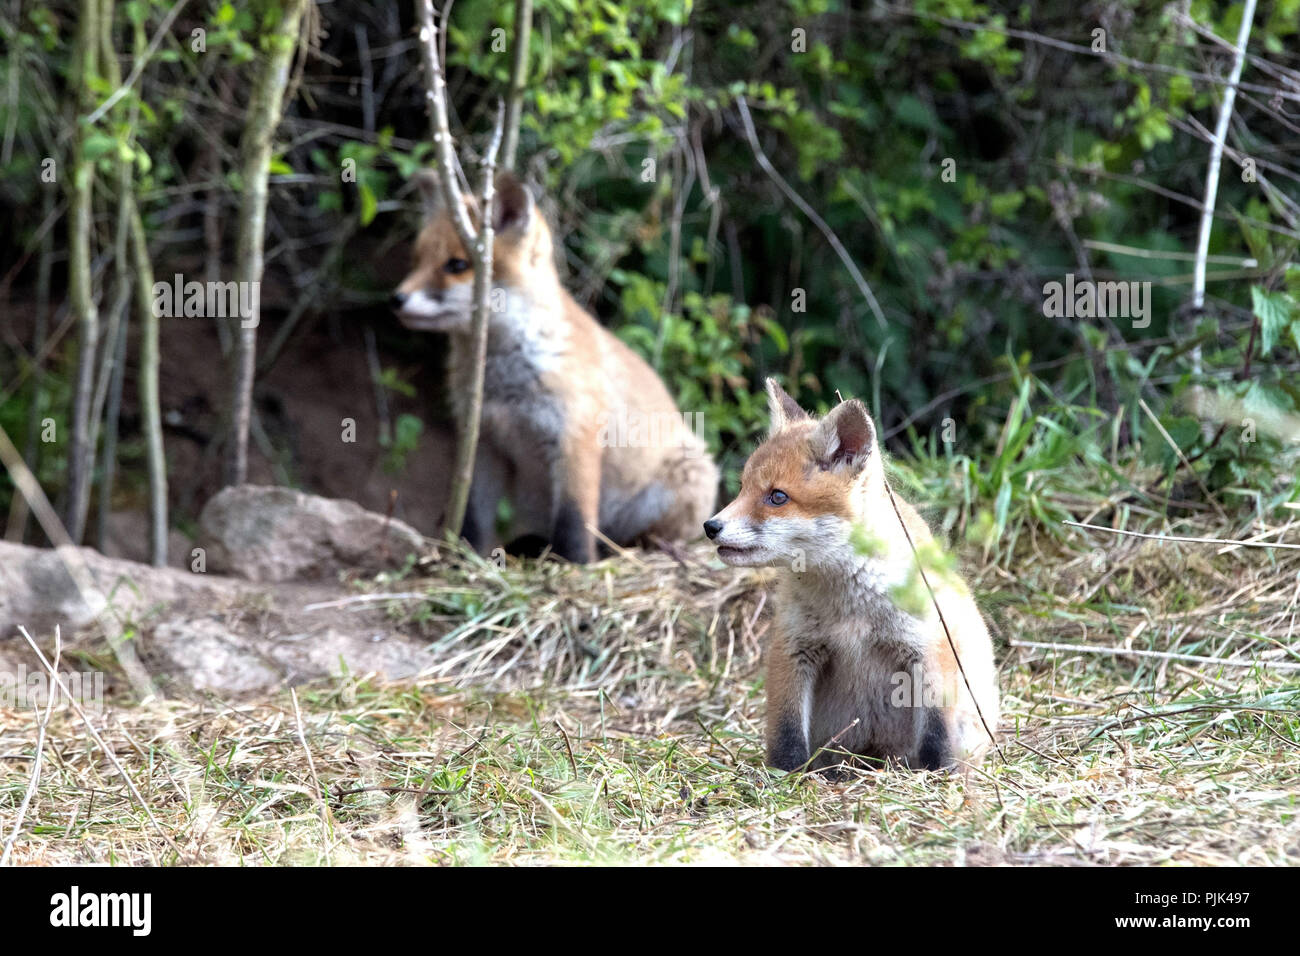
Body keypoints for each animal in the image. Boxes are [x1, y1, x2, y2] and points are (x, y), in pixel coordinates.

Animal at [392, 169, 718, 563]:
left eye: (457, 265)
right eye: (418, 260)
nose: (396, 299)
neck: (508, 383)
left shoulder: (575, 436)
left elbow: (574, 522)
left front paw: (577, 565)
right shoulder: (486, 442)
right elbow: (474, 519)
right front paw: (465, 558)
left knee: (636, 539)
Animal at [704, 379, 999, 772]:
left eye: (777, 497)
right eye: (742, 488)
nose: (710, 526)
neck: (849, 606)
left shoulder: (930, 647)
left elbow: (937, 736)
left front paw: (937, 775)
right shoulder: (792, 648)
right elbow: (786, 732)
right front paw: (786, 773)